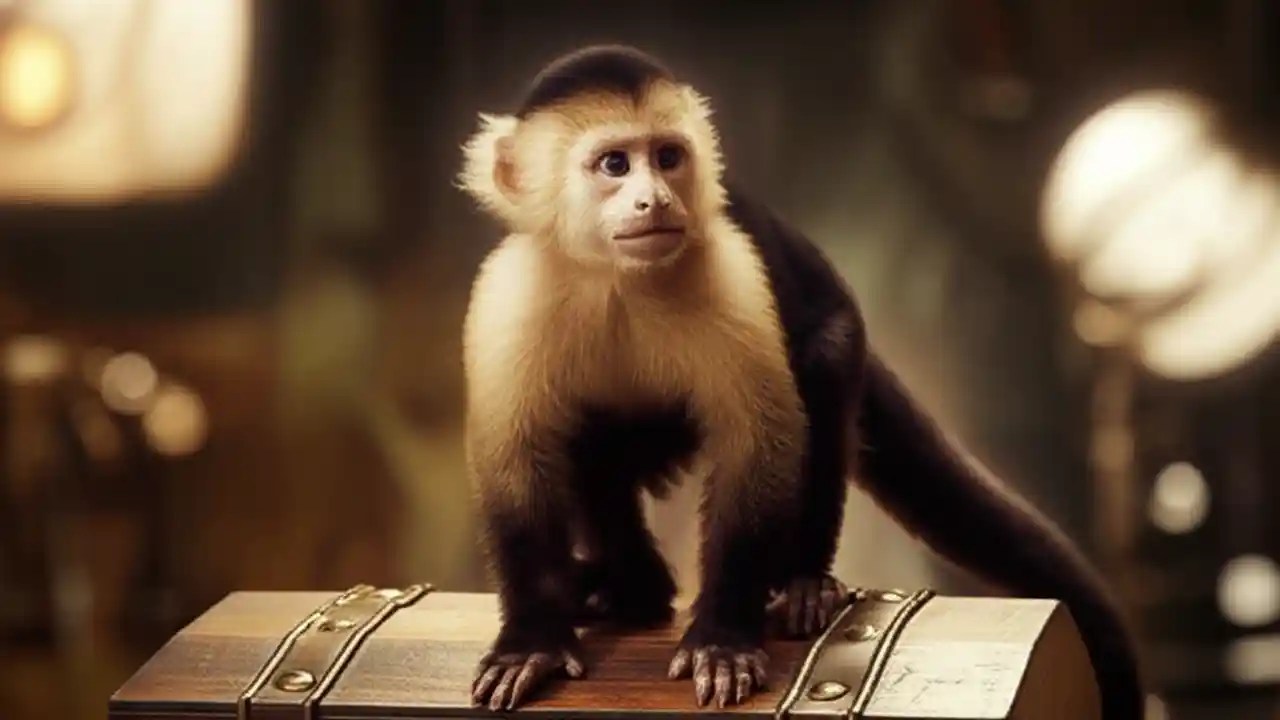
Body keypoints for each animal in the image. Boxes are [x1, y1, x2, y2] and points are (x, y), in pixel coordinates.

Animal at [456, 44, 1144, 717]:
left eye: (668, 157)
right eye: (615, 164)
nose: (656, 200)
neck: (618, 276)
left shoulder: (726, 270)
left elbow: (759, 446)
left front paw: (723, 638)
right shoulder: (508, 295)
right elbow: (517, 464)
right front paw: (532, 641)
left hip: (838, 330)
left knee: (824, 363)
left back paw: (801, 580)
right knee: (589, 442)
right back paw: (631, 590)